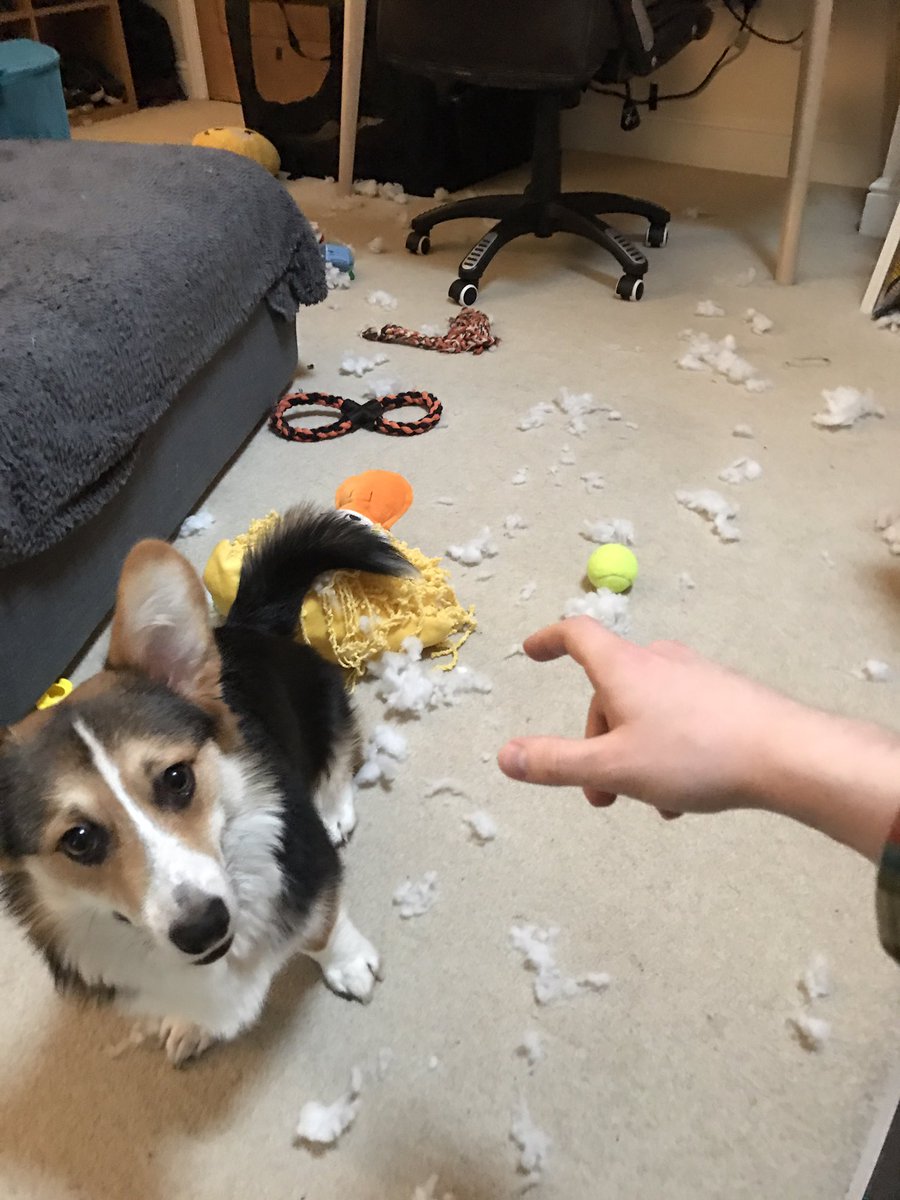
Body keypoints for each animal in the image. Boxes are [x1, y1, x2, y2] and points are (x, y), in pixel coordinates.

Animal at [0, 506, 411, 1064]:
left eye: (177, 778)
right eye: (78, 840)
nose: (203, 927)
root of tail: (245, 625)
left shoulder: (313, 878)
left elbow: (322, 931)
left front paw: (349, 965)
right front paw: (191, 1026)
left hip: (324, 704)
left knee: (340, 755)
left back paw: (333, 809)